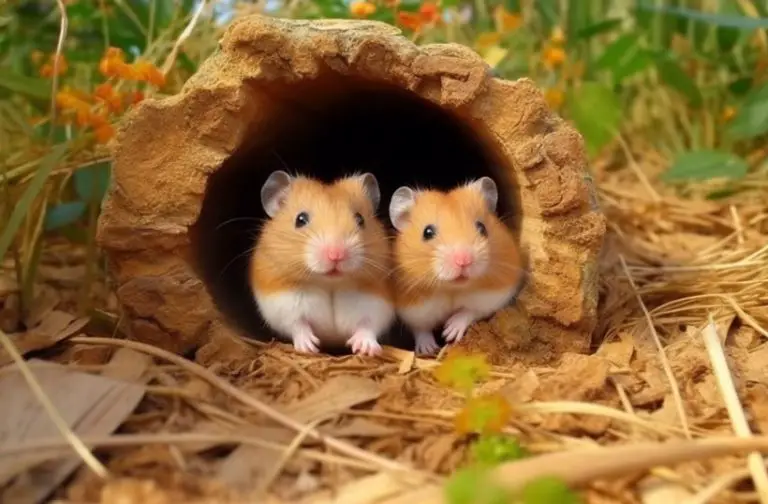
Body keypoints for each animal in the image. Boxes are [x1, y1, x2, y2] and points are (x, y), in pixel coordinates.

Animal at [250, 170, 395, 356]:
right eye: (300, 219)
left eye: (360, 219)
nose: (336, 255)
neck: (329, 283)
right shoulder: (282, 302)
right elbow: (297, 324)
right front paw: (309, 347)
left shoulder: (376, 304)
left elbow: (368, 324)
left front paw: (365, 348)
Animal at [388, 176, 525, 356]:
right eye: (427, 232)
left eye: (482, 228)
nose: (463, 261)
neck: (452, 289)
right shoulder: (413, 309)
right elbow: (421, 329)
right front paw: (428, 349)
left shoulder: (494, 296)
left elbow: (470, 311)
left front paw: (449, 332)